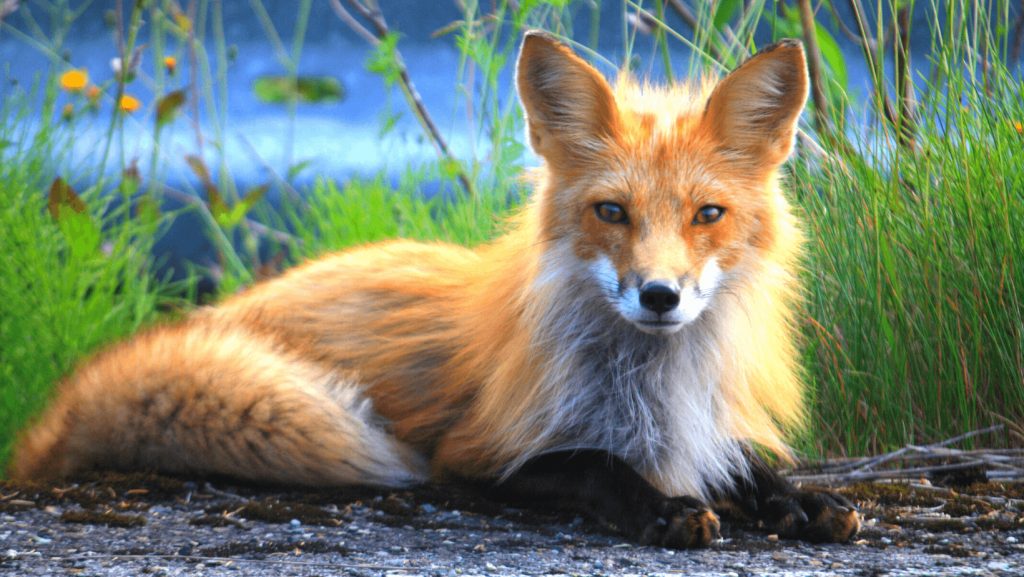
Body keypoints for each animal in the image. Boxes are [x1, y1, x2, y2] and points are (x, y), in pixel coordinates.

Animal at [10, 31, 859, 547]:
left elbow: (743, 460)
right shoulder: (480, 452)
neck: (651, 384)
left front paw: (800, 498)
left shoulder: (703, 422)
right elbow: (597, 463)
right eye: (612, 212)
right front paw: (665, 505)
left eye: (707, 214)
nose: (658, 296)